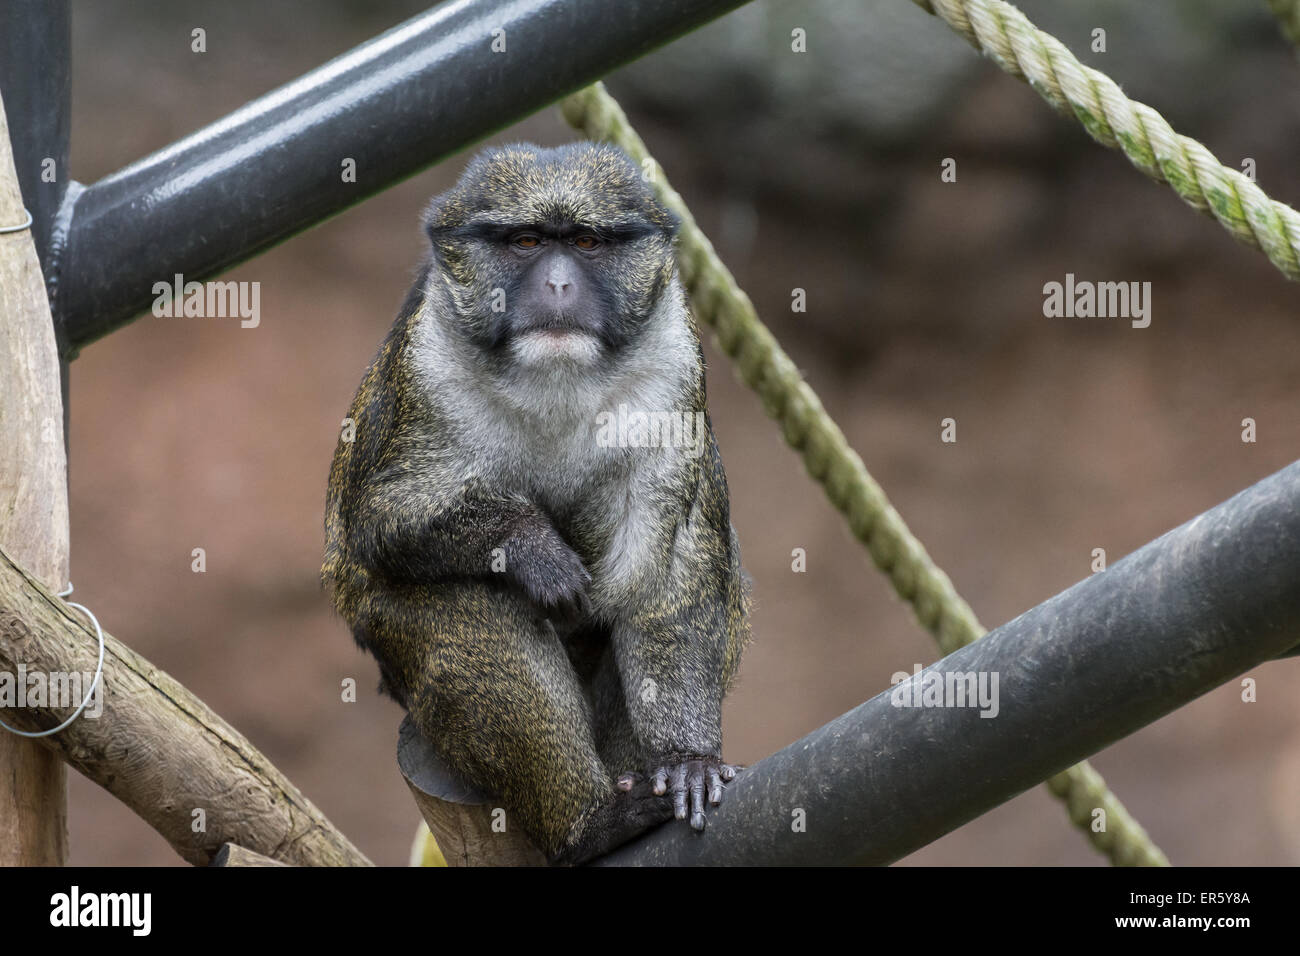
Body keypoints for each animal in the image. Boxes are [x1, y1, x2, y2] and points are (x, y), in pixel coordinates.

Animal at [322, 141, 751, 865]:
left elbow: (664, 576)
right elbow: (382, 517)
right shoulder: (426, 364)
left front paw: (688, 760)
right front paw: (533, 550)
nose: (556, 285)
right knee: (467, 603)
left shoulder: (674, 365)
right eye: (524, 242)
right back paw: (588, 825)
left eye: (584, 241)